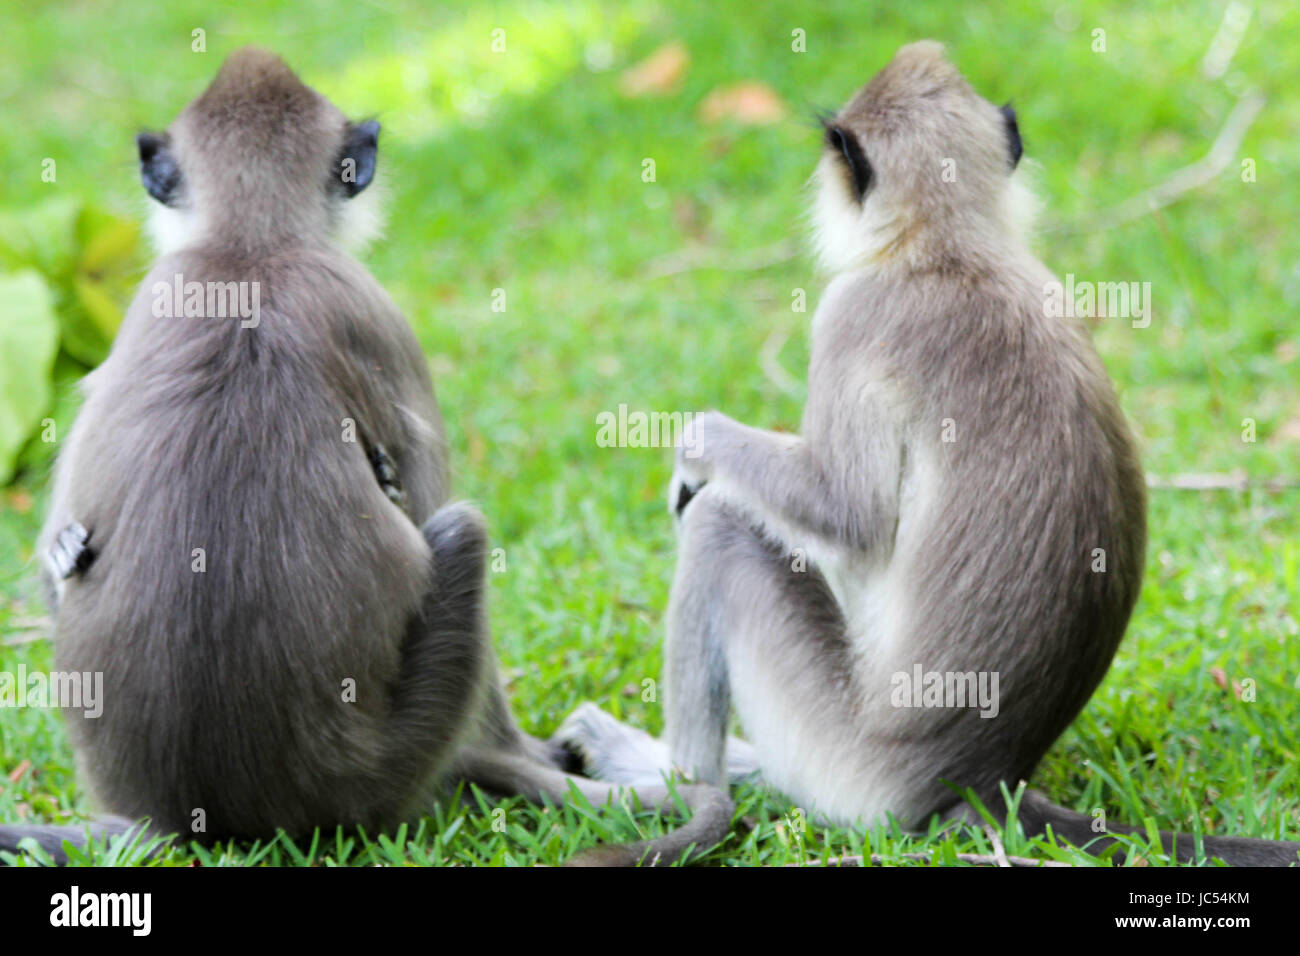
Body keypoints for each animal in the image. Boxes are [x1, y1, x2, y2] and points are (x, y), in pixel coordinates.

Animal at [0, 48, 731, 867]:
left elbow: (54, 553)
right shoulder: (371, 308)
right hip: (392, 764)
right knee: (462, 531)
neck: (250, 251)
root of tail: (197, 818)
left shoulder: (150, 298)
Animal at [555, 41, 1300, 866]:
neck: (948, 252)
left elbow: (846, 516)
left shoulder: (851, 316)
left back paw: (670, 773)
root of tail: (987, 780)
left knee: (721, 527)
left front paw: (697, 448)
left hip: (844, 762)